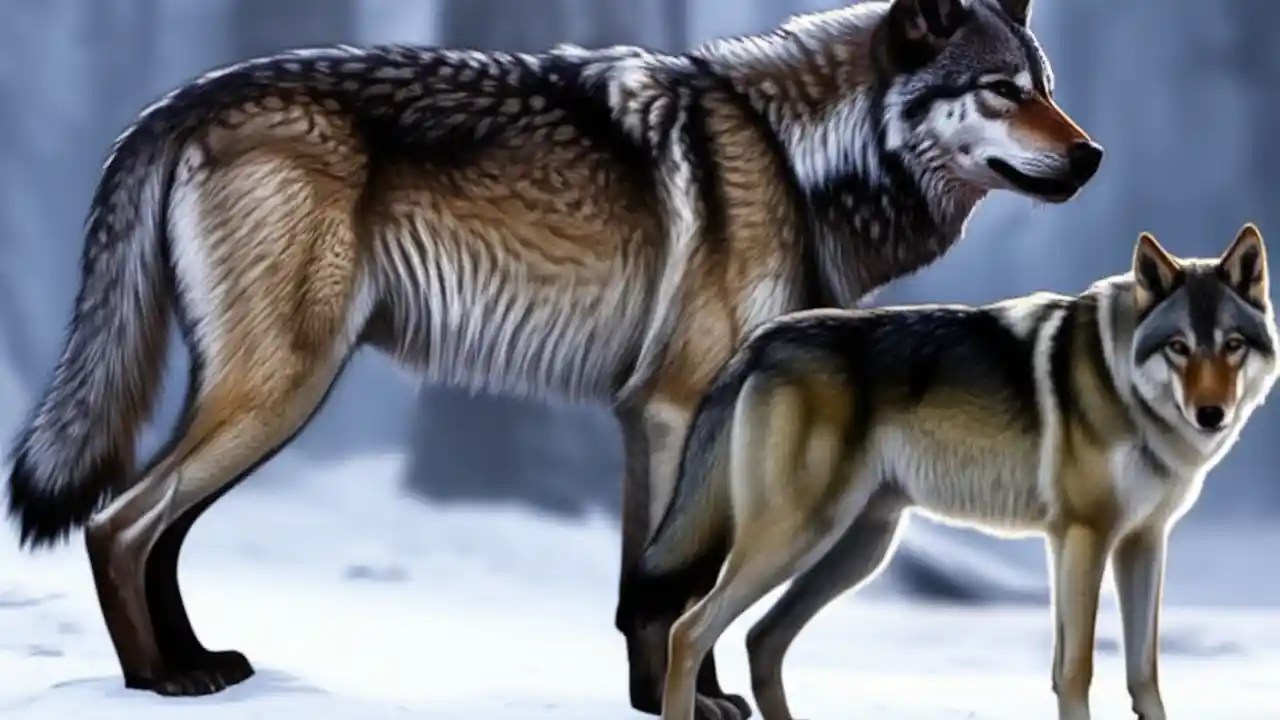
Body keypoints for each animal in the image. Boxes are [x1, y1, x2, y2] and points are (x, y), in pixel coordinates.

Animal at [6, 0, 1098, 711]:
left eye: (1048, 88)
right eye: (1001, 91)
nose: (1090, 157)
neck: (797, 156)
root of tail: (178, 104)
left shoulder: (667, 417)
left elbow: (654, 580)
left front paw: (665, 698)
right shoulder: (673, 405)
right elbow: (674, 590)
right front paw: (682, 703)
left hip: (265, 396)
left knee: (159, 528)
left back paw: (194, 662)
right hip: (281, 389)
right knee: (118, 521)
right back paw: (160, 679)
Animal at [631, 224, 1278, 720]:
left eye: (1232, 345)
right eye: (1179, 347)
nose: (1211, 413)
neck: (1124, 383)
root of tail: (760, 340)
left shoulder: (1142, 542)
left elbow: (1143, 673)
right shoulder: (1083, 537)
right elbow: (1076, 668)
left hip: (857, 550)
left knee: (761, 640)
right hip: (800, 537)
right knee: (690, 631)